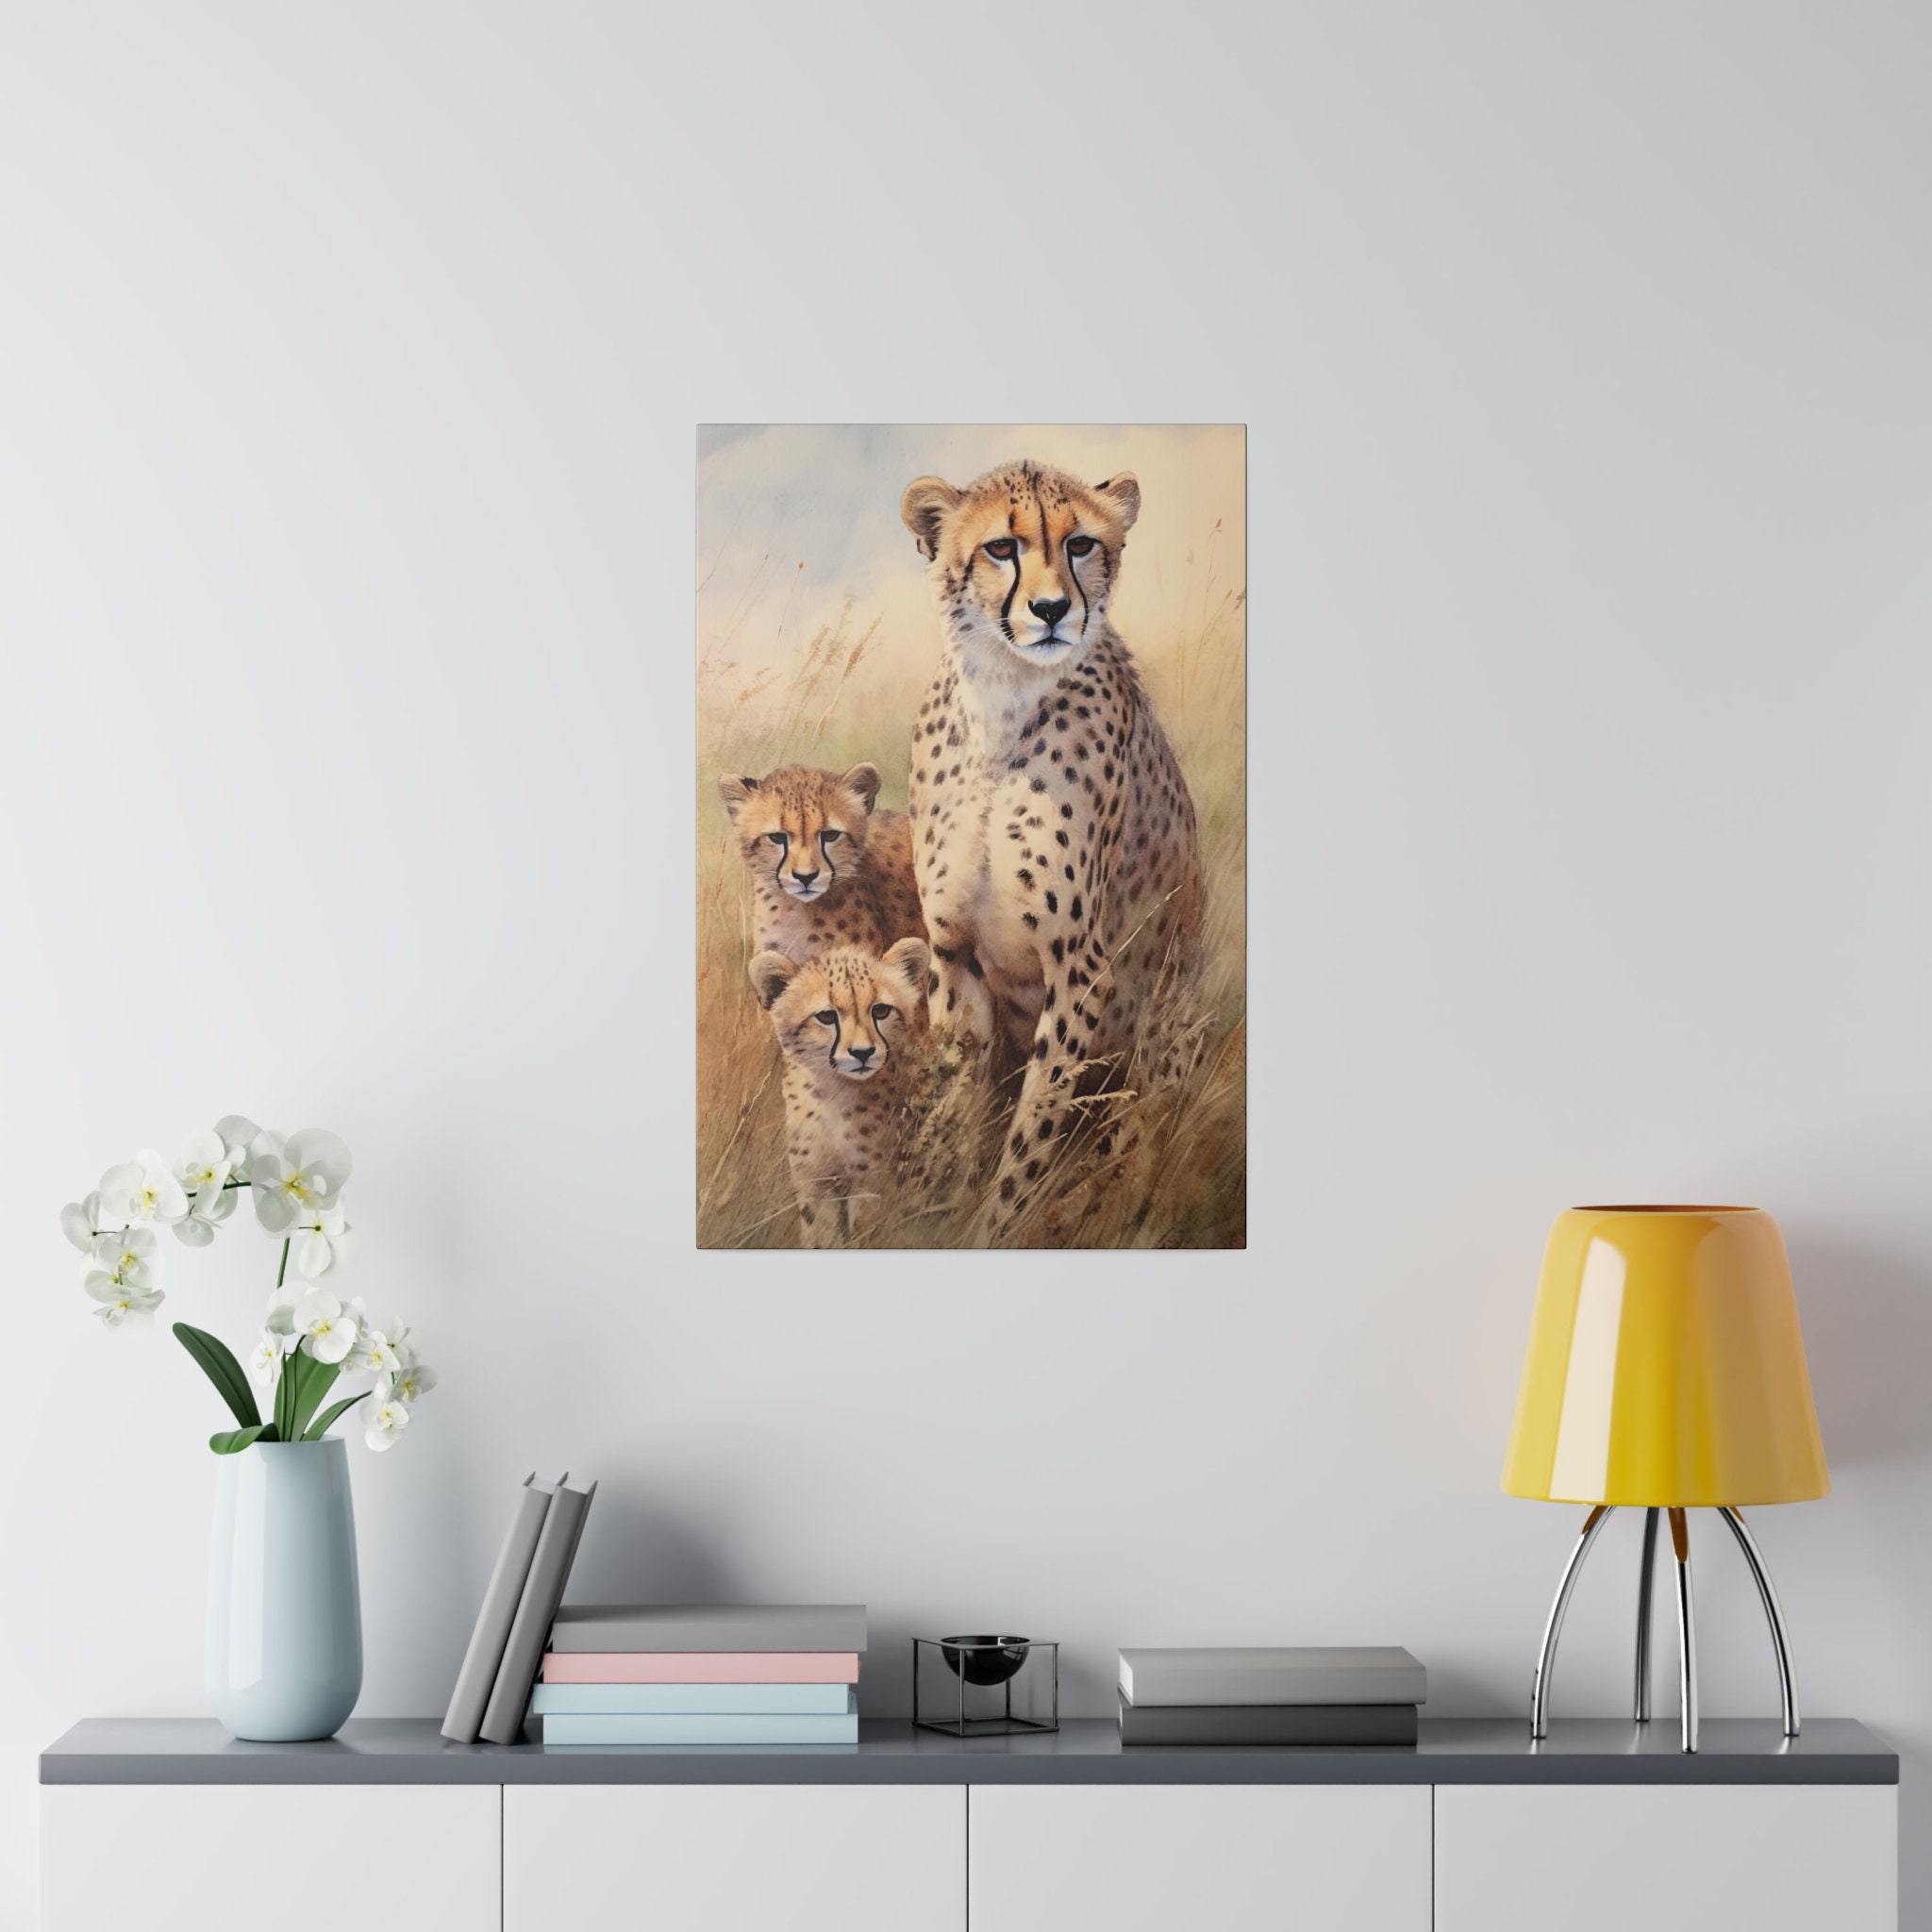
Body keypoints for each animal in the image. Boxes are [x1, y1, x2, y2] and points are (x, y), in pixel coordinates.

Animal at [748, 937, 932, 1247]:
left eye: (880, 1011)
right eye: (826, 1016)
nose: (863, 1053)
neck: (833, 1093)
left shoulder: (872, 1182)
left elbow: (869, 1234)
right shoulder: (816, 1183)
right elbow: (821, 1237)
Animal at [900, 459, 1203, 1241]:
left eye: (1082, 545)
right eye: (1002, 548)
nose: (1051, 610)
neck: (1001, 701)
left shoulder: (1080, 968)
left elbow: (1033, 1132)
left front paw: (993, 1228)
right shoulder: (955, 956)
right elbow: (955, 1111)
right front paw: (933, 1215)